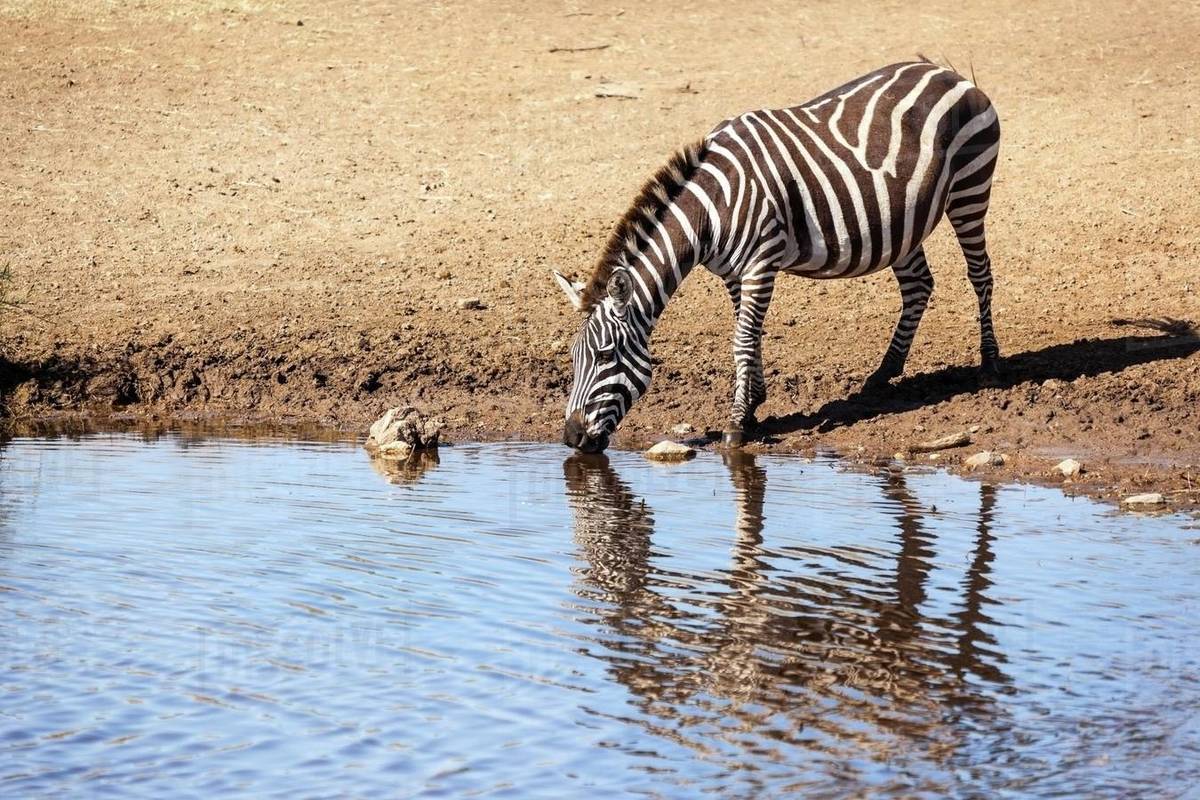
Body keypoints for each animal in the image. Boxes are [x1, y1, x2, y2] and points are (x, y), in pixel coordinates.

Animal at [556, 60, 1001, 452]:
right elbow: (748, 335)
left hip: (970, 189)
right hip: (903, 222)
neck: (709, 211)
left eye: (605, 356)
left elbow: (742, 338)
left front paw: (736, 423)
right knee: (918, 286)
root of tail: (946, 72)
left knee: (980, 274)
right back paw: (884, 373)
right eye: (574, 358)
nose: (572, 438)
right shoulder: (733, 273)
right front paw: (753, 404)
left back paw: (989, 364)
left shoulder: (760, 263)